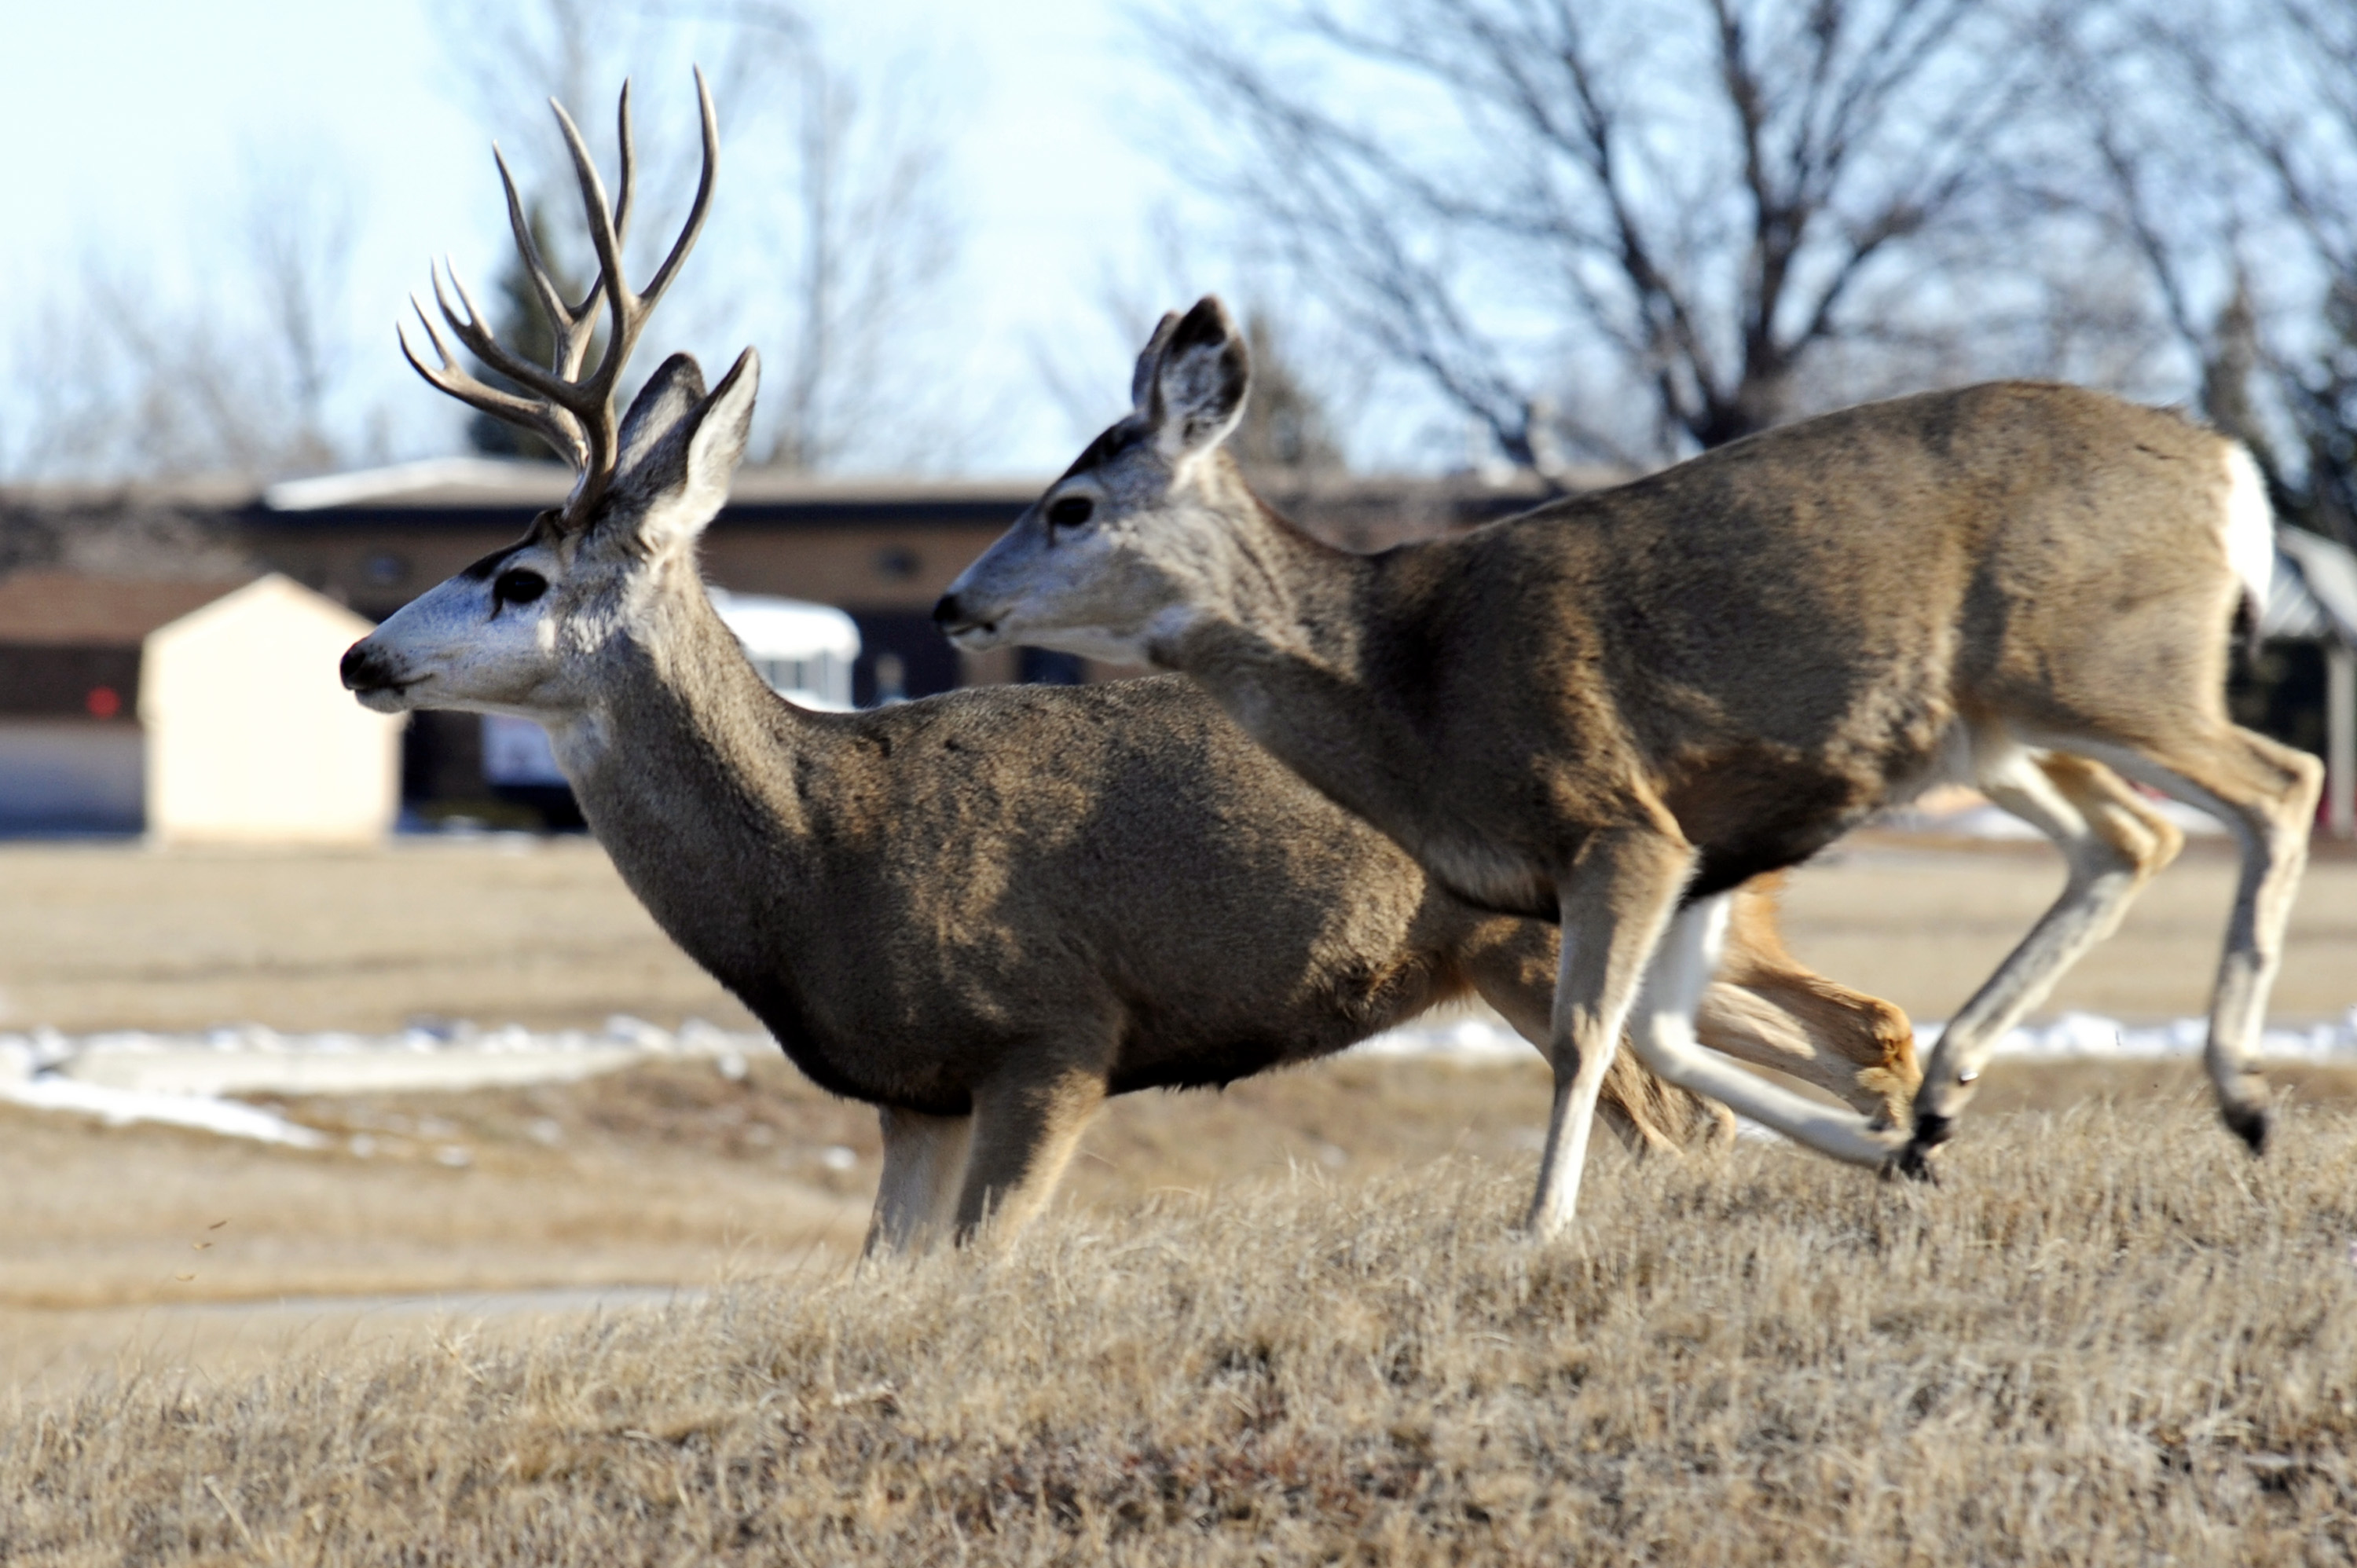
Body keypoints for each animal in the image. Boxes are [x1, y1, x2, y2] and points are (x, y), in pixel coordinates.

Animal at [337, 79, 1926, 1250]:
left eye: (519, 578)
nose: (358, 655)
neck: (820, 850)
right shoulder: (910, 1092)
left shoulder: (1055, 1033)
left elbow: (980, 1263)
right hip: (1659, 921)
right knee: (1852, 1027)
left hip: (1530, 936)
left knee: (1699, 1111)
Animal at [936, 296, 2322, 1239]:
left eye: (1070, 507)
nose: (952, 602)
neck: (1403, 686)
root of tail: (2229, 471)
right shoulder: (1704, 834)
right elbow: (1658, 1027)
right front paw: (1886, 1149)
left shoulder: (1621, 820)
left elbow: (1590, 1032)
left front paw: (1541, 1223)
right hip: (2003, 721)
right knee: (2133, 837)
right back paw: (1949, 1091)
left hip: (2101, 666)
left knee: (2281, 783)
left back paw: (2242, 1095)